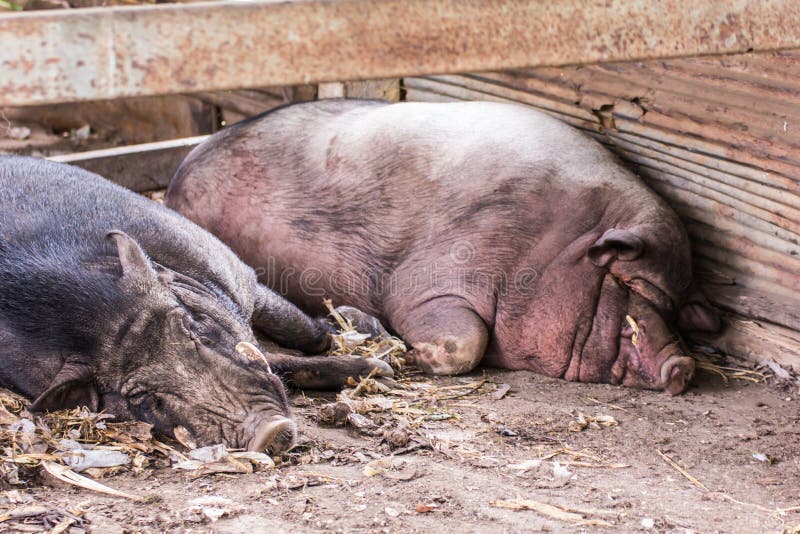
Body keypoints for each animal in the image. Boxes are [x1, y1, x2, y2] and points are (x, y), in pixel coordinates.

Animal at [0, 155, 391, 454]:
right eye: (143, 396)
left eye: (190, 325)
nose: (266, 431)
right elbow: (276, 361)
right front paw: (378, 366)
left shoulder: (238, 272)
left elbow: (299, 331)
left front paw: (379, 365)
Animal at [165, 99, 721, 395]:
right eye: (630, 284)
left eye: (673, 304)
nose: (684, 365)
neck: (553, 246)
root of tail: (182, 167)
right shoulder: (436, 275)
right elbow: (463, 344)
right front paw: (410, 354)